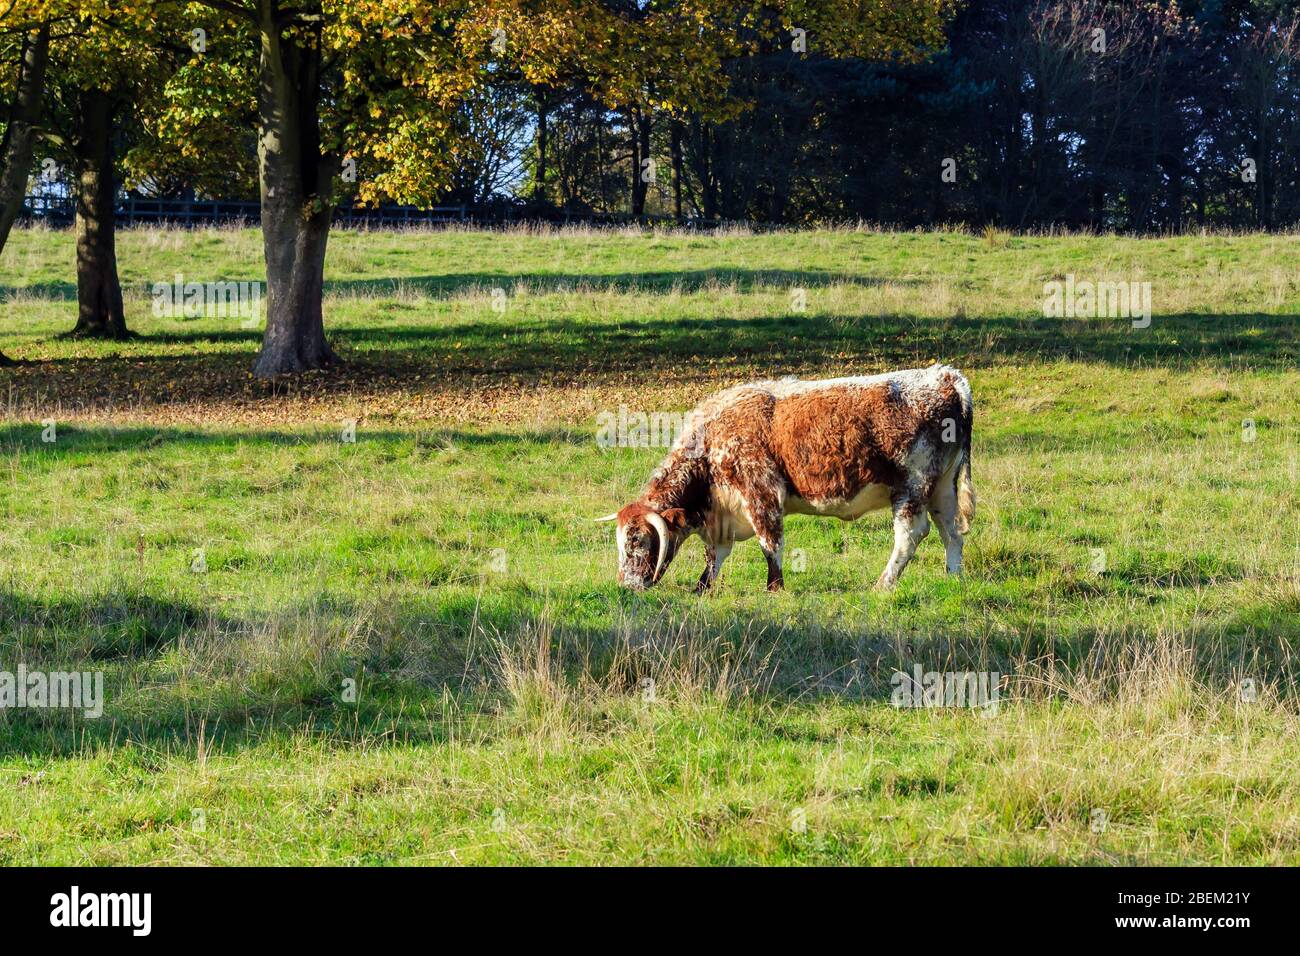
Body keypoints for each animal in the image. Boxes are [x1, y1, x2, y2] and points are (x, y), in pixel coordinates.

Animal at [597, 364, 975, 592]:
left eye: (636, 542)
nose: (626, 587)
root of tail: (945, 376)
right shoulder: (722, 513)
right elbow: (715, 554)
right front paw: (702, 588)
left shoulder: (761, 493)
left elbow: (770, 543)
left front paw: (774, 587)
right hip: (942, 488)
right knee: (952, 531)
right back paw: (953, 578)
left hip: (911, 488)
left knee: (911, 535)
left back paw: (883, 584)